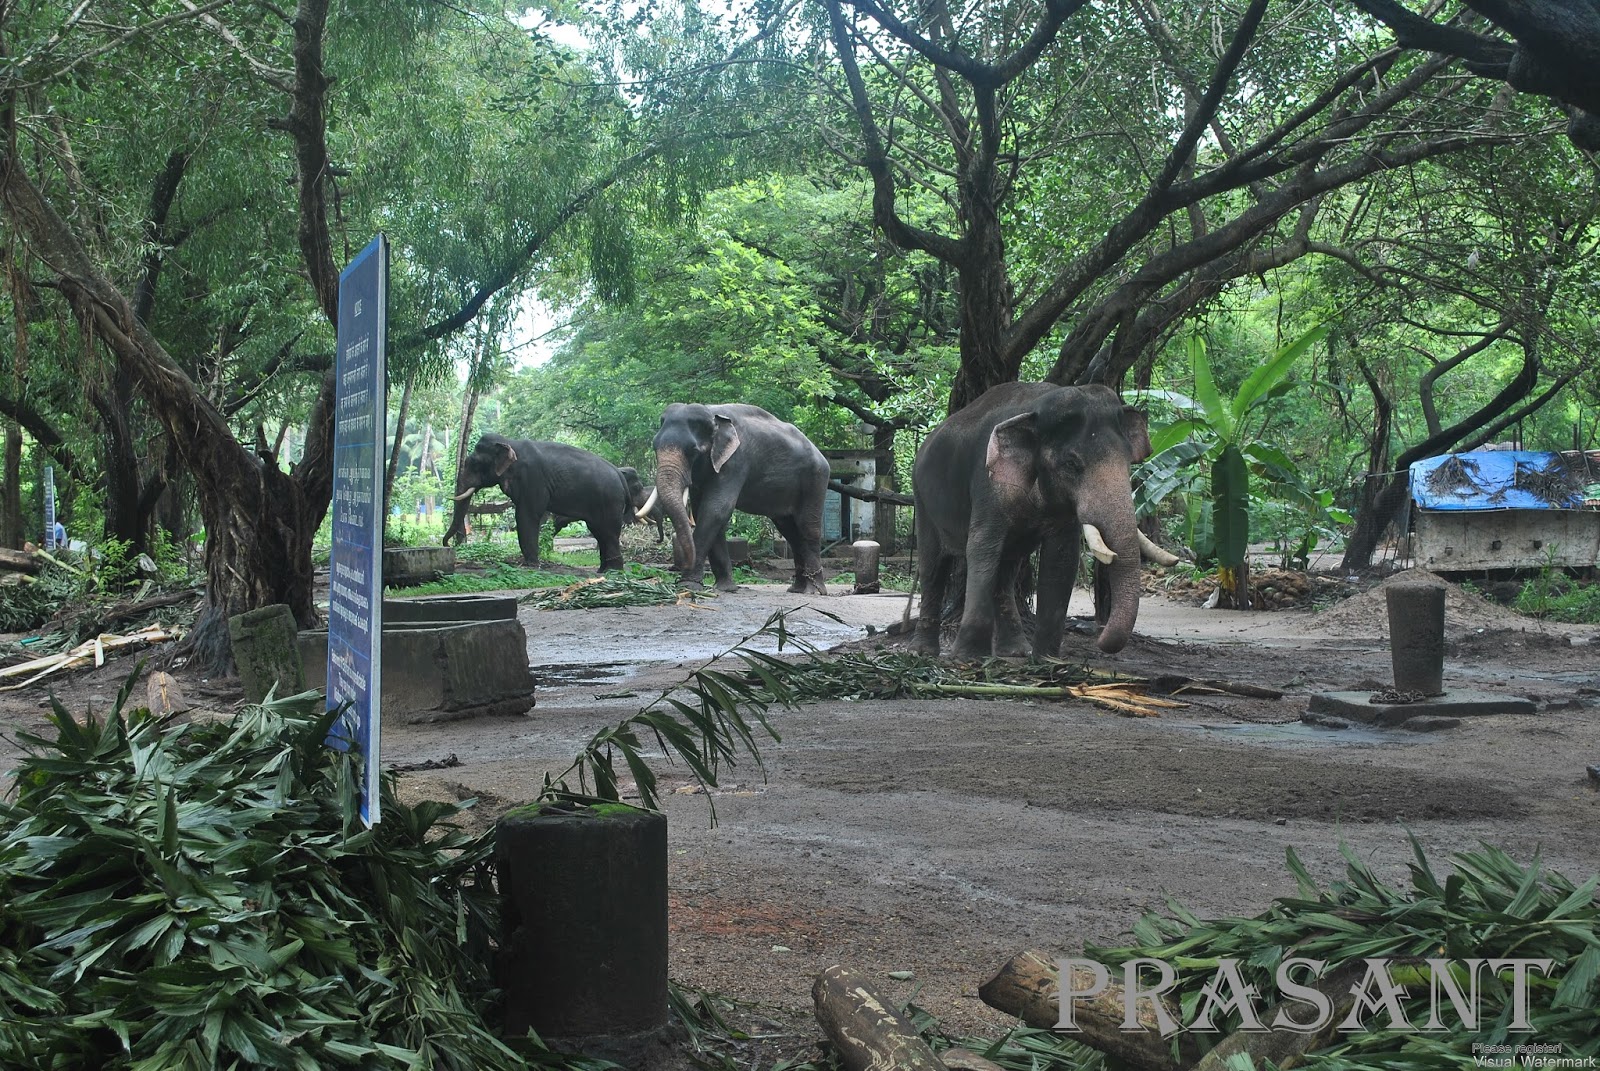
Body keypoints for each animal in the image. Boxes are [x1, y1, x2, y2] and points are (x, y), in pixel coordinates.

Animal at [443, 433, 630, 572]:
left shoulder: (533, 478)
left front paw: (531, 565)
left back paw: (612, 571)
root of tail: (619, 474)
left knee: (608, 531)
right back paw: (603, 571)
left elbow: (527, 514)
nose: (447, 546)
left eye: (474, 463)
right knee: (599, 531)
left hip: (610, 500)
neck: (510, 442)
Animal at [643, 402, 829, 593]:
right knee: (790, 531)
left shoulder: (736, 461)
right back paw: (796, 589)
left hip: (815, 479)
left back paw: (814, 591)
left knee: (808, 528)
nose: (677, 569)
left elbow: (716, 509)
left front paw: (688, 585)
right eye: (654, 447)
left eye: (693, 451)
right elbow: (703, 510)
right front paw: (725, 588)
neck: (712, 414)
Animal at [911, 382, 1151, 658]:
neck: (1036, 405)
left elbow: (1061, 559)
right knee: (933, 565)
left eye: (1128, 460)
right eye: (1071, 464)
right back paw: (922, 652)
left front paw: (1048, 659)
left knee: (1006, 569)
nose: (1099, 637)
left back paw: (1015, 651)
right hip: (922, 499)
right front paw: (967, 657)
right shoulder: (988, 484)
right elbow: (981, 548)